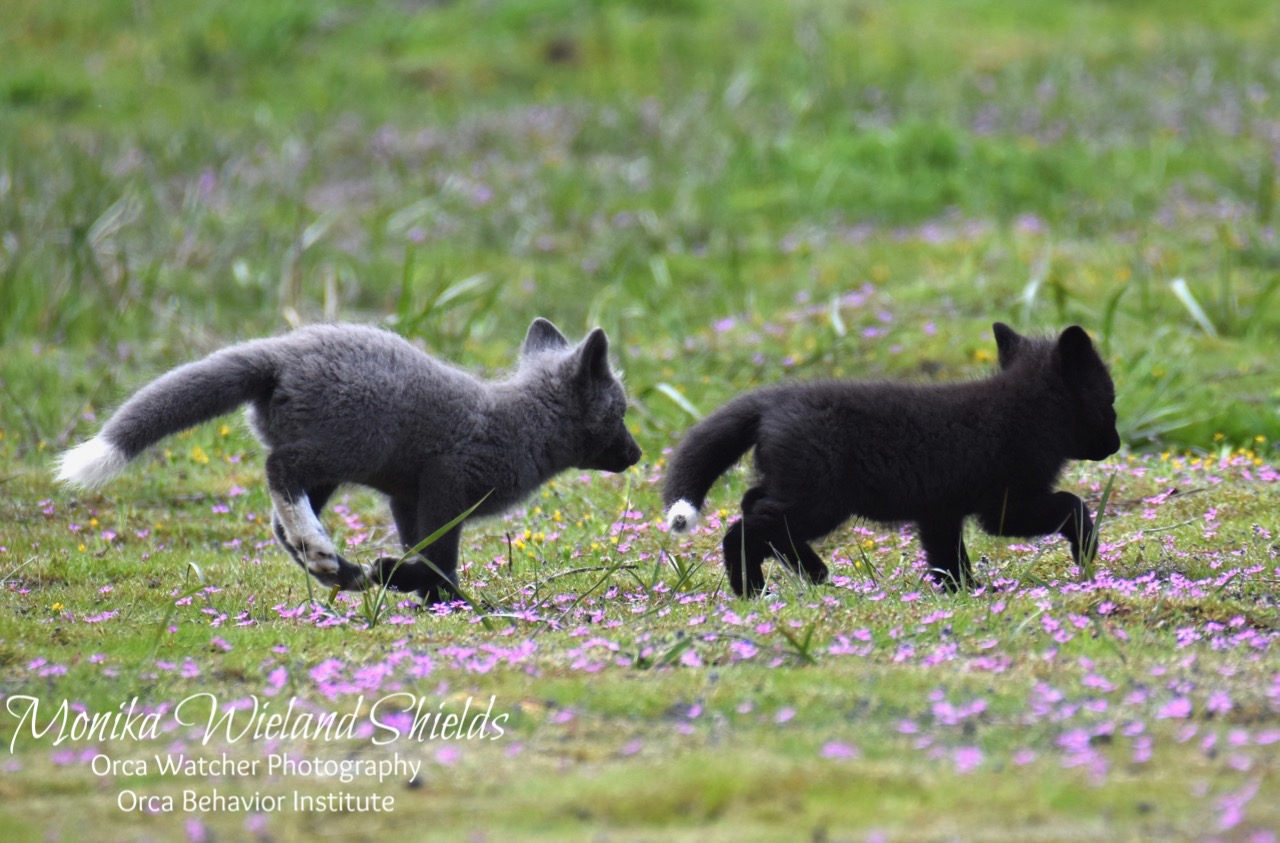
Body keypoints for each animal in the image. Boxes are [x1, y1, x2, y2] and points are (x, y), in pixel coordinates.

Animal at [56, 319, 642, 604]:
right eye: (619, 413)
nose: (637, 454)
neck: (521, 424)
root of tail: (280, 351)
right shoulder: (446, 483)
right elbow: (438, 557)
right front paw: (447, 597)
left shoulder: (407, 497)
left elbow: (425, 554)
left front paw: (420, 590)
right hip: (348, 448)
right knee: (278, 471)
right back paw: (326, 553)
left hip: (333, 469)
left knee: (278, 519)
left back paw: (337, 568)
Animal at [662, 322, 1119, 597]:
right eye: (1111, 402)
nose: (1115, 445)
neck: (1031, 409)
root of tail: (771, 399)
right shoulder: (1003, 506)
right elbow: (1071, 504)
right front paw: (1087, 549)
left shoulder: (940, 511)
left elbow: (948, 560)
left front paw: (964, 593)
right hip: (820, 502)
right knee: (742, 530)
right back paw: (752, 592)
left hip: (796, 490)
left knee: (754, 508)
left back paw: (813, 573)